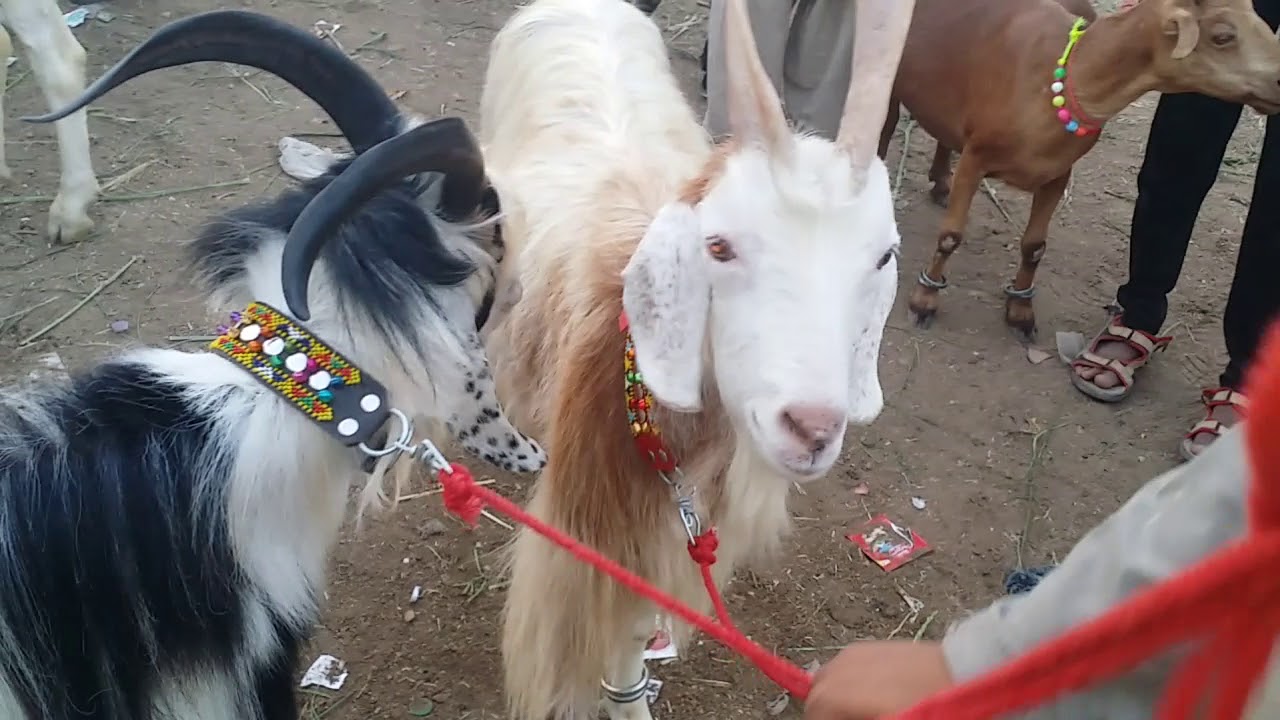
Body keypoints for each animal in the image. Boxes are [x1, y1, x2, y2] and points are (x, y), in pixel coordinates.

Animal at [881, 0, 1280, 341]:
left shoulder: (1058, 172)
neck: (1066, 76)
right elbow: (950, 236)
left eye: (1259, 19)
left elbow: (1034, 247)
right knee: (885, 130)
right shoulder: (976, 157)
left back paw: (939, 183)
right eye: (1222, 36)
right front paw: (924, 300)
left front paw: (1021, 311)